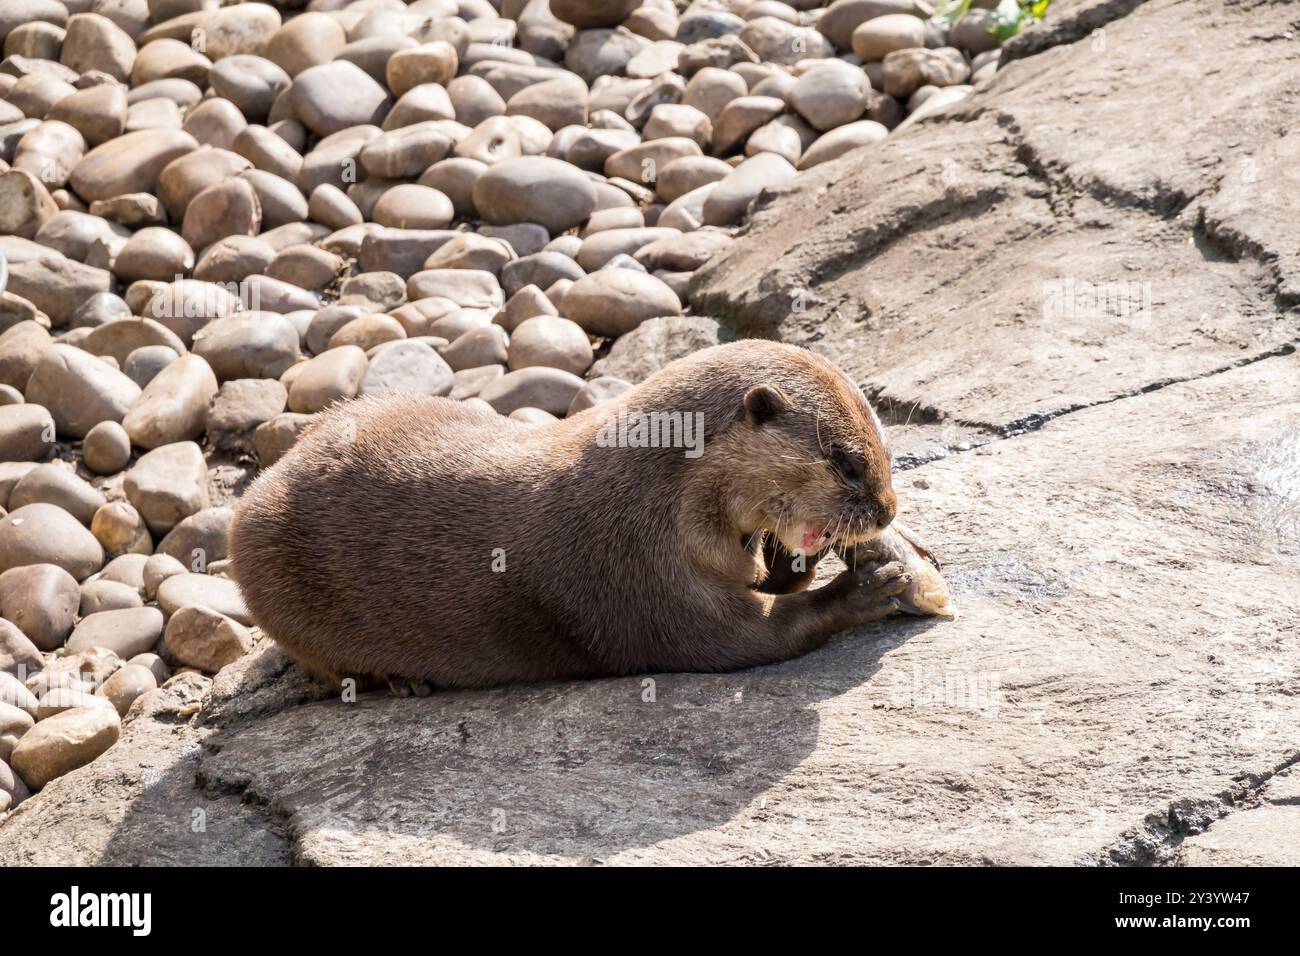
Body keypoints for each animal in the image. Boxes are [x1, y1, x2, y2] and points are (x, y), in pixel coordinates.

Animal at [229, 340, 909, 691]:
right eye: (846, 461)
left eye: (882, 438)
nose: (886, 510)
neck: (660, 499)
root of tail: (271, 475)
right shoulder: (639, 578)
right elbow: (750, 637)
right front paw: (867, 587)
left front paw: (798, 552)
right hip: (264, 563)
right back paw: (394, 681)